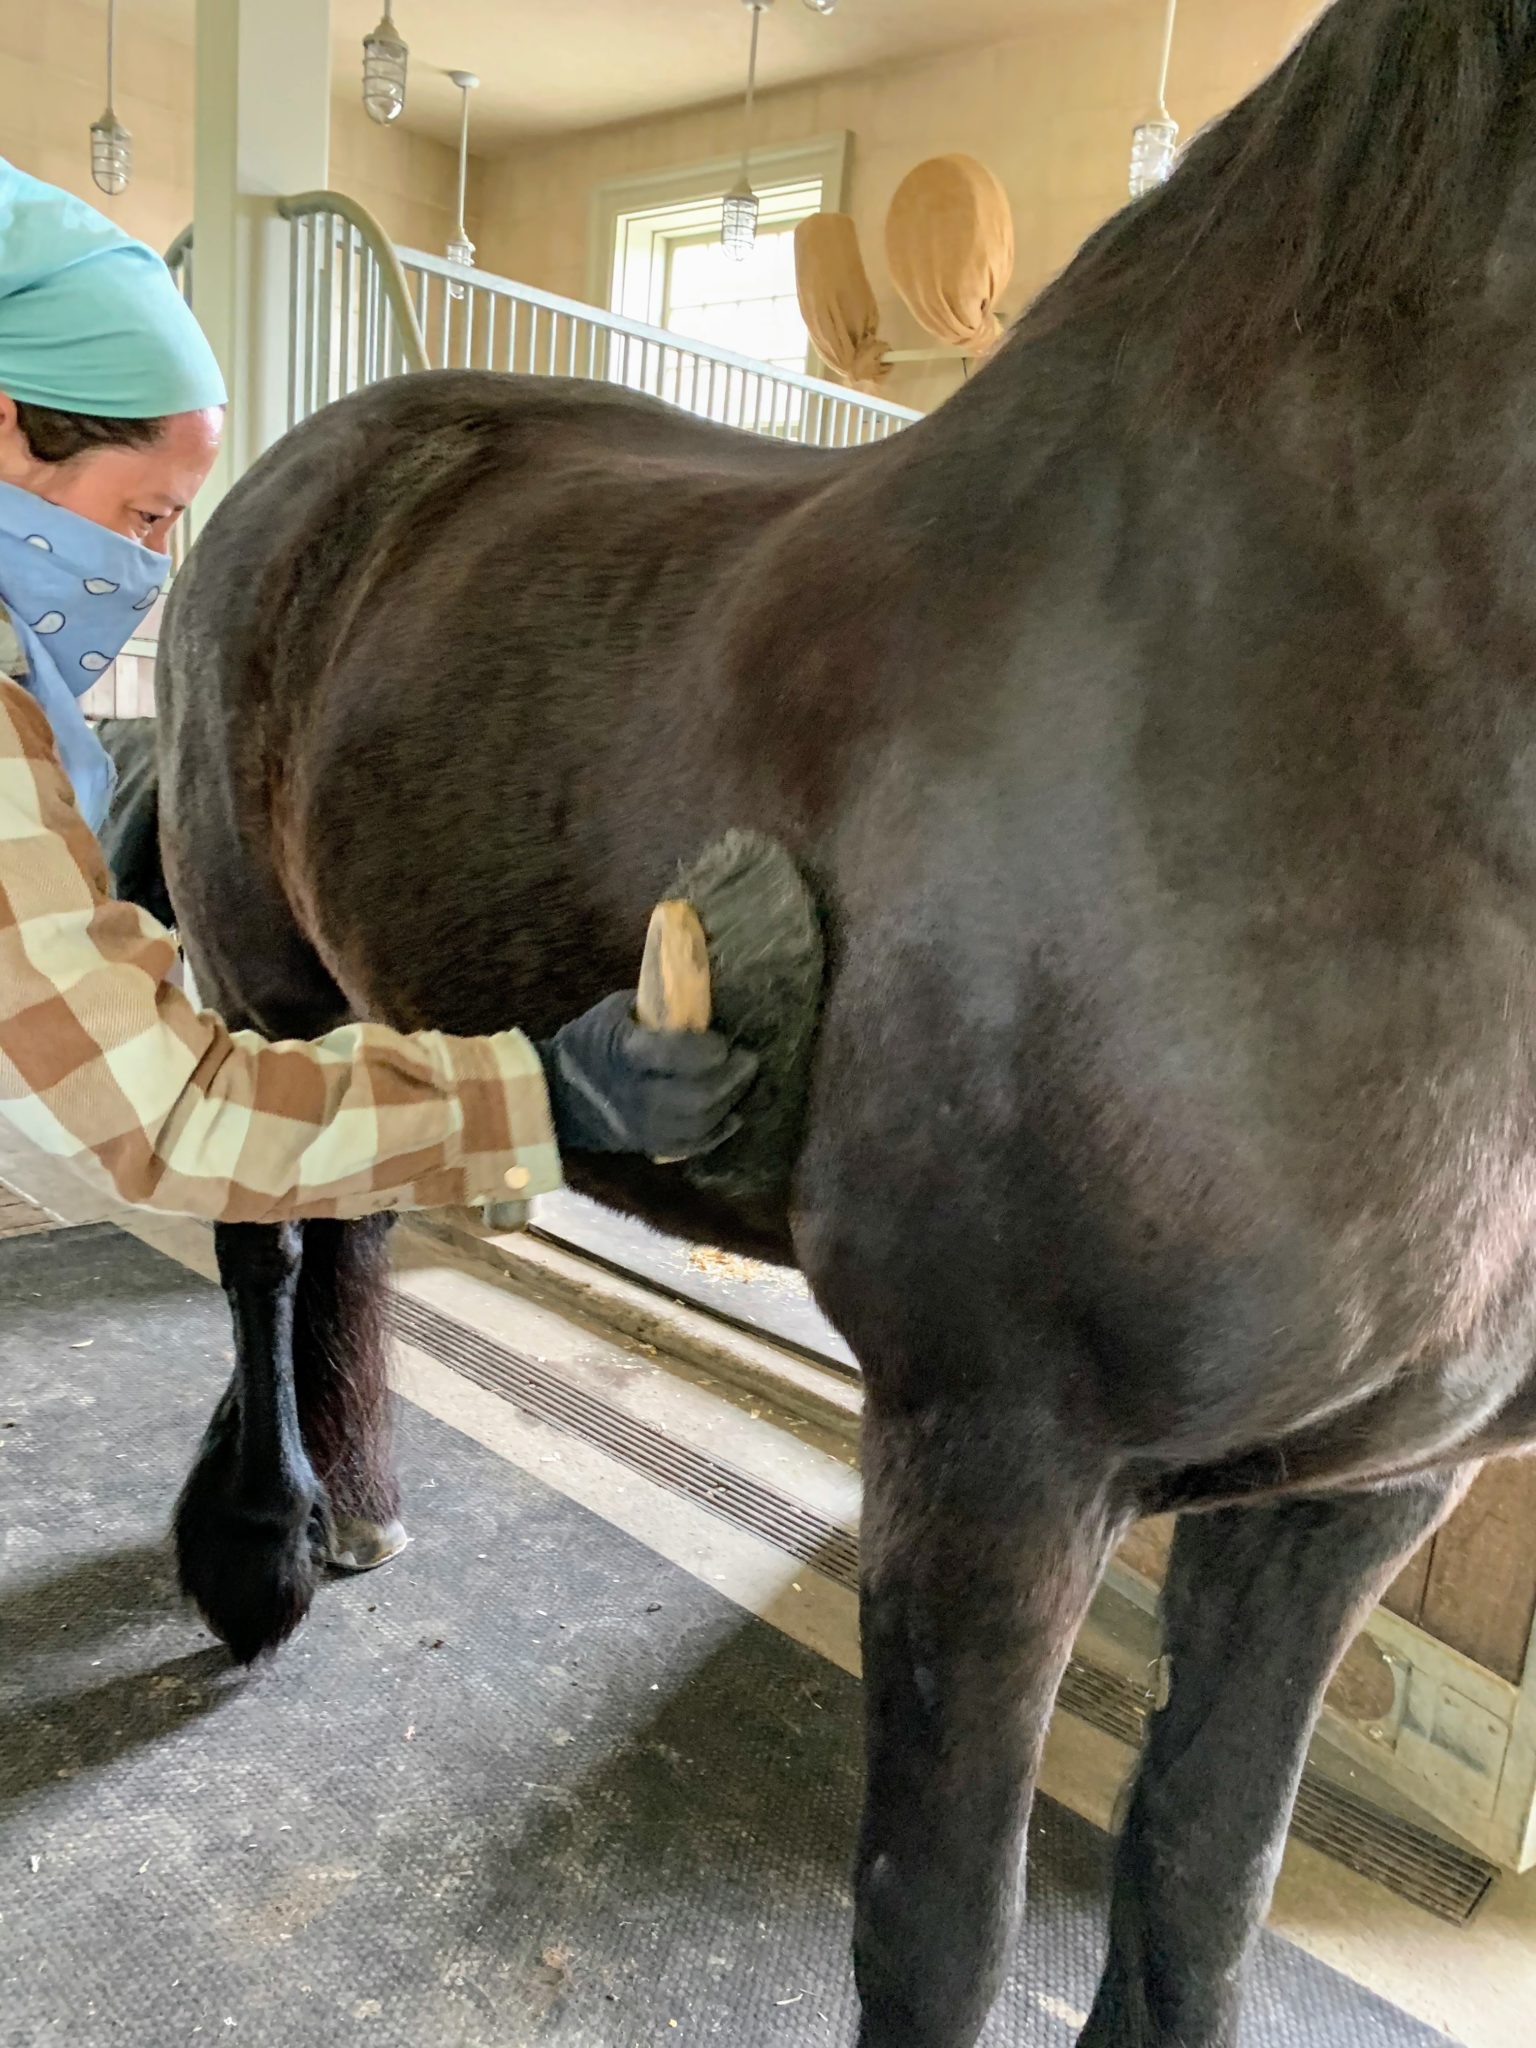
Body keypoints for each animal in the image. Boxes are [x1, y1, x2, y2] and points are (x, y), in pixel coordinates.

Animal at [152, 3, 1536, 2041]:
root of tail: (316, 462)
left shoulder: (1346, 1503)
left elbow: (1207, 1886)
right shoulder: (996, 1460)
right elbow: (935, 1927)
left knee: (359, 1227)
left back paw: (357, 1506)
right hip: (267, 978)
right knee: (266, 1248)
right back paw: (262, 1551)